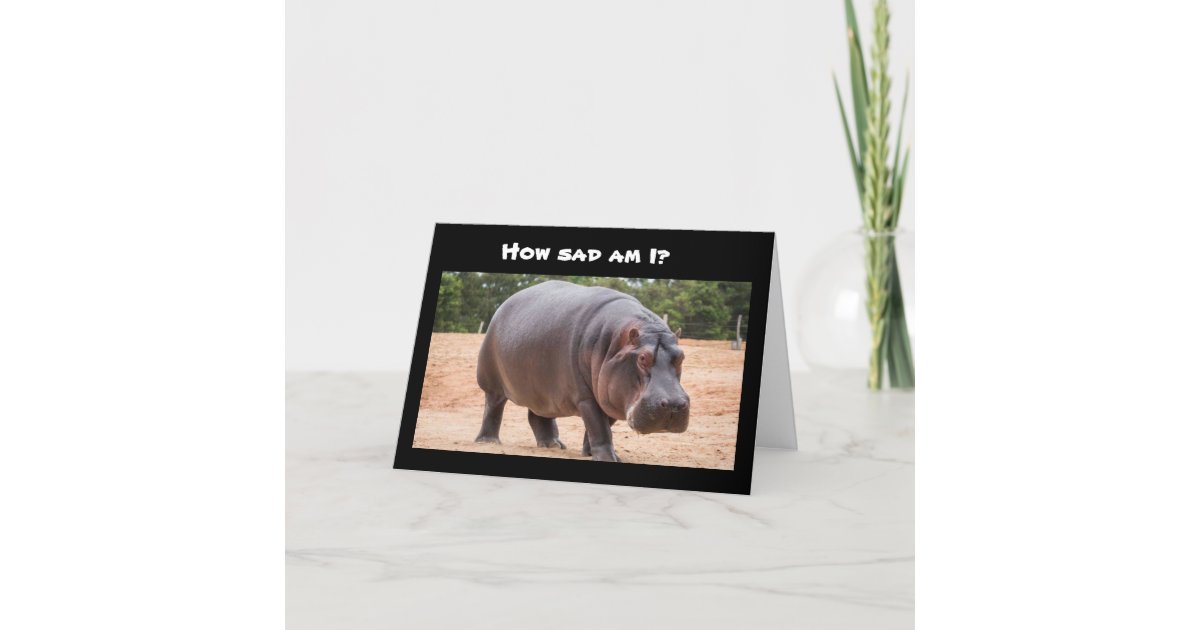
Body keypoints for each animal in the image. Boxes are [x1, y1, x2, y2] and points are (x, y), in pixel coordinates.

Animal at [474, 280, 691, 462]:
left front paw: (591, 453)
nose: (674, 404)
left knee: (538, 416)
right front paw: (608, 458)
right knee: (493, 408)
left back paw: (553, 445)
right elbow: (599, 427)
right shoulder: (587, 397)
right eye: (643, 358)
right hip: (492, 383)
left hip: (543, 391)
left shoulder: (609, 395)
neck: (616, 343)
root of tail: (504, 303)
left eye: (681, 356)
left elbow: (599, 427)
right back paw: (488, 442)